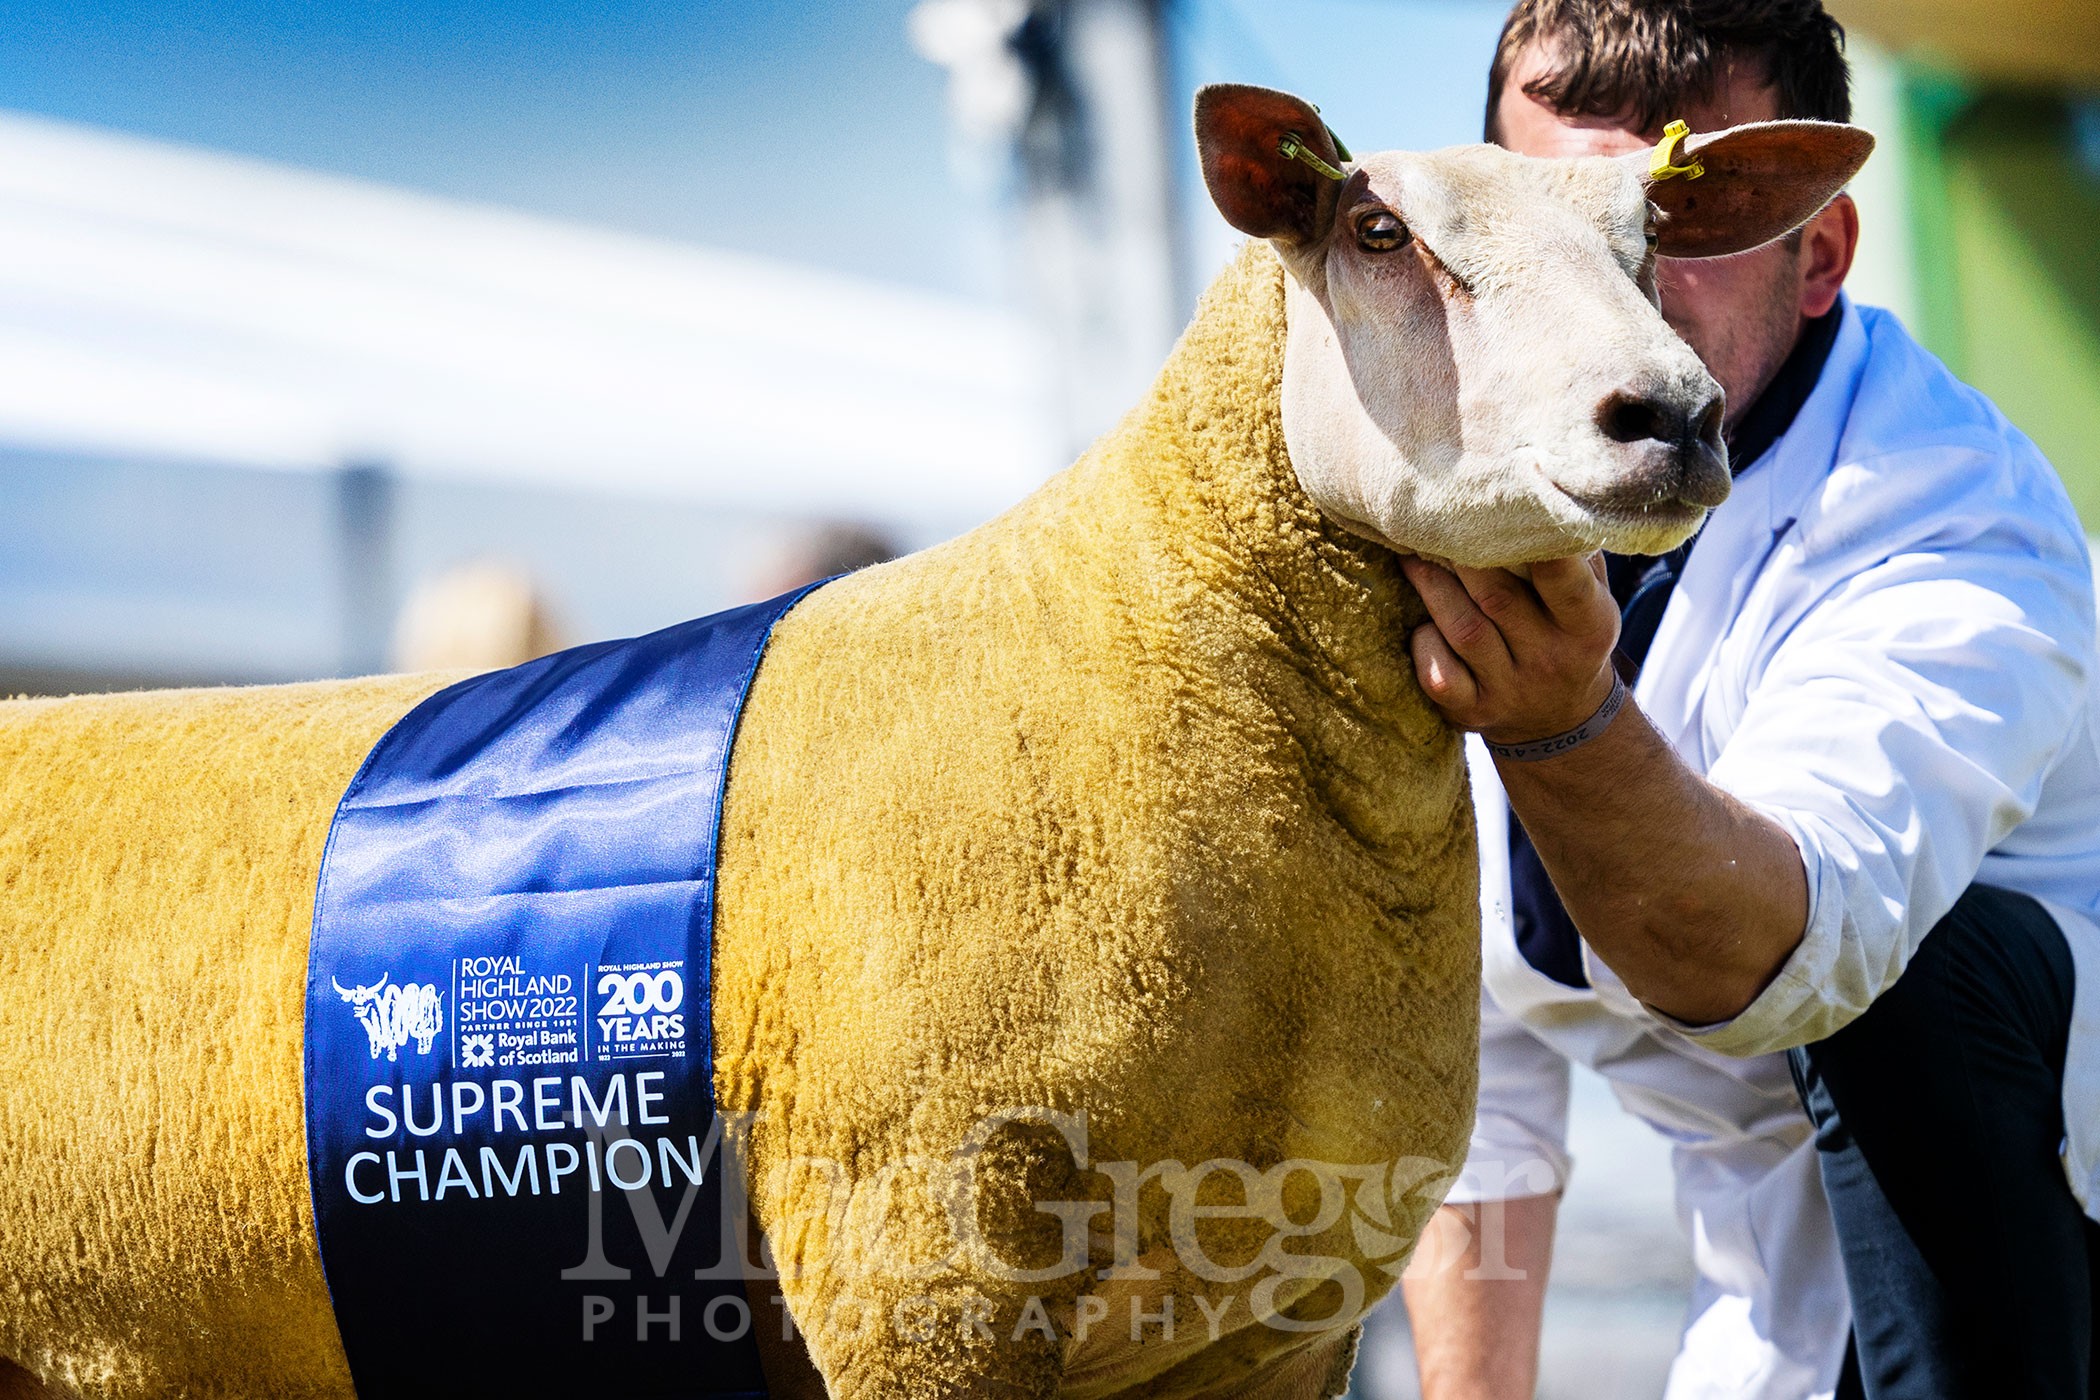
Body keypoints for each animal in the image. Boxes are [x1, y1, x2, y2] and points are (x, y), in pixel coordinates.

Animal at [0, 85, 1869, 1400]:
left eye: (1655, 237)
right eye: (1377, 230)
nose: (1671, 417)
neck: (1142, 639)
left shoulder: (1266, 1329)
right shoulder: (917, 1278)